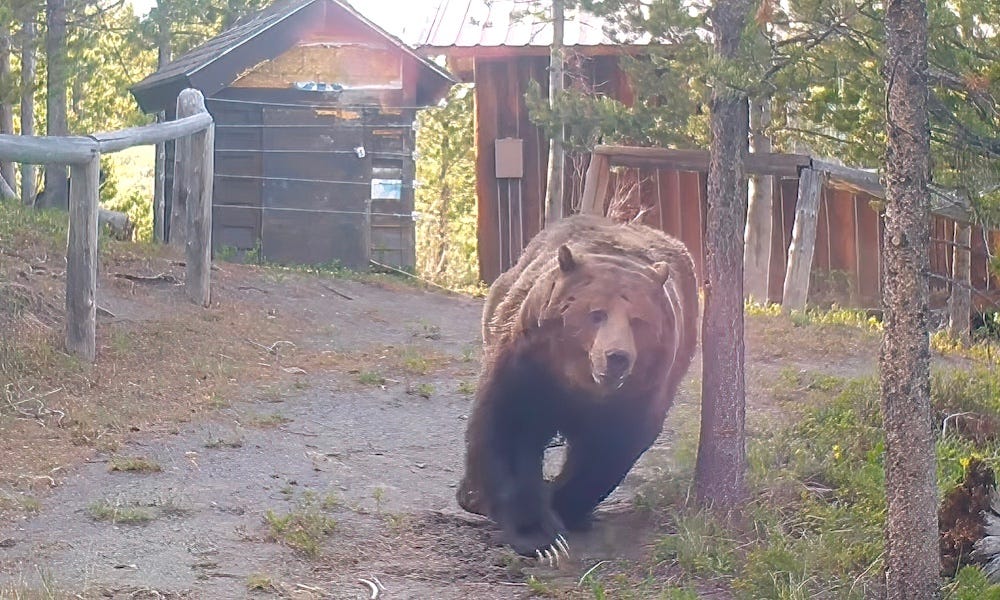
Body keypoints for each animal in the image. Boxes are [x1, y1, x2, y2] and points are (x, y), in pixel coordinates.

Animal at [456, 213, 699, 559]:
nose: (617, 357)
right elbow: (511, 427)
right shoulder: (529, 365)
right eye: (596, 314)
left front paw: (562, 507)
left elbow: (606, 450)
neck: (579, 384)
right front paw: (539, 535)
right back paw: (474, 496)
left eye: (638, 321)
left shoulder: (639, 394)